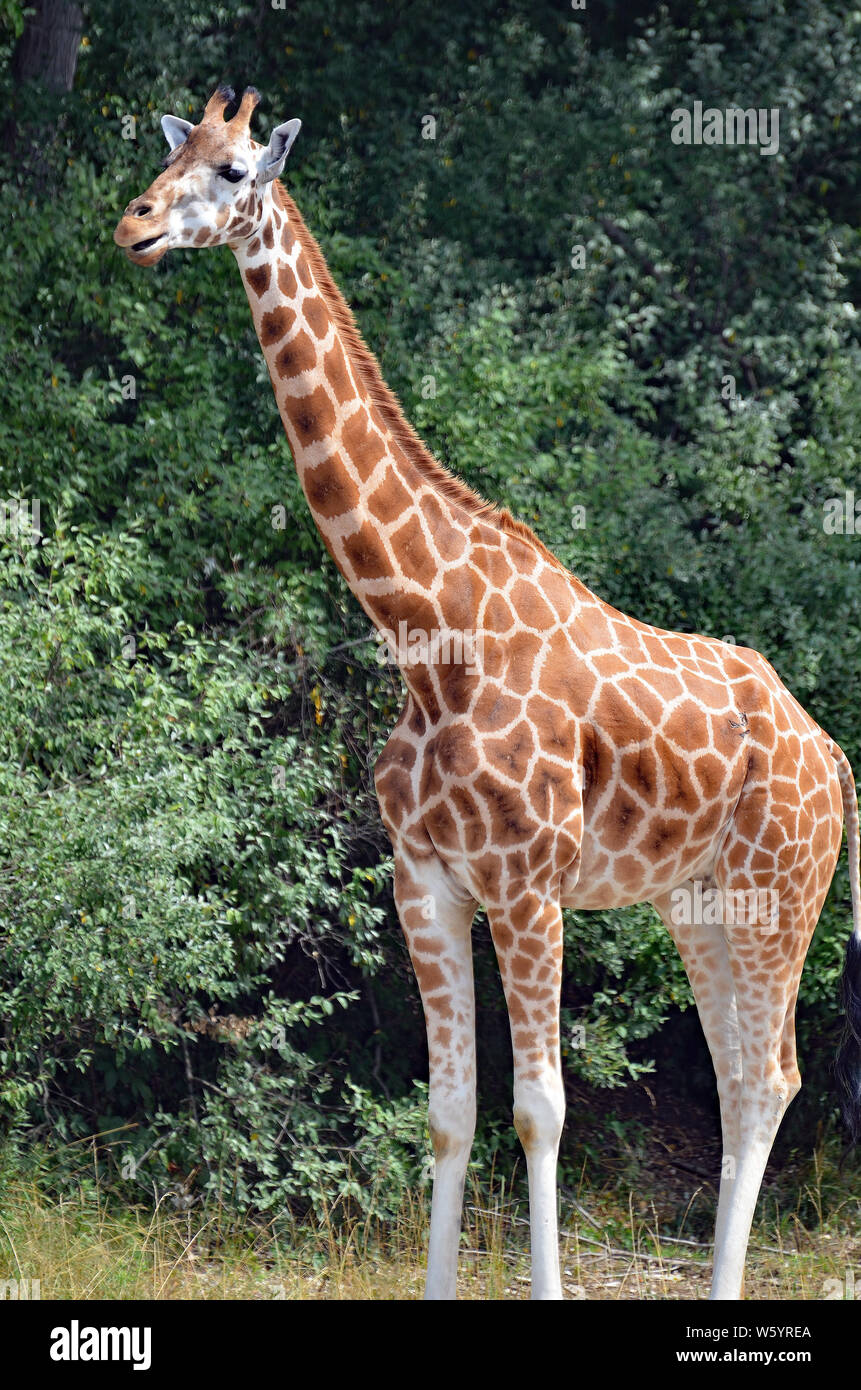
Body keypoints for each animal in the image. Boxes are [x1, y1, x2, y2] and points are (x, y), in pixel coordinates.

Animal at [114, 86, 861, 1301]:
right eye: (166, 153)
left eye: (231, 171)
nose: (131, 224)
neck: (429, 634)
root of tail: (829, 752)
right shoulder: (427, 881)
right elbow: (451, 1114)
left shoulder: (528, 885)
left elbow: (542, 1113)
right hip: (700, 902)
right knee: (741, 1075)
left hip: (781, 892)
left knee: (771, 1080)